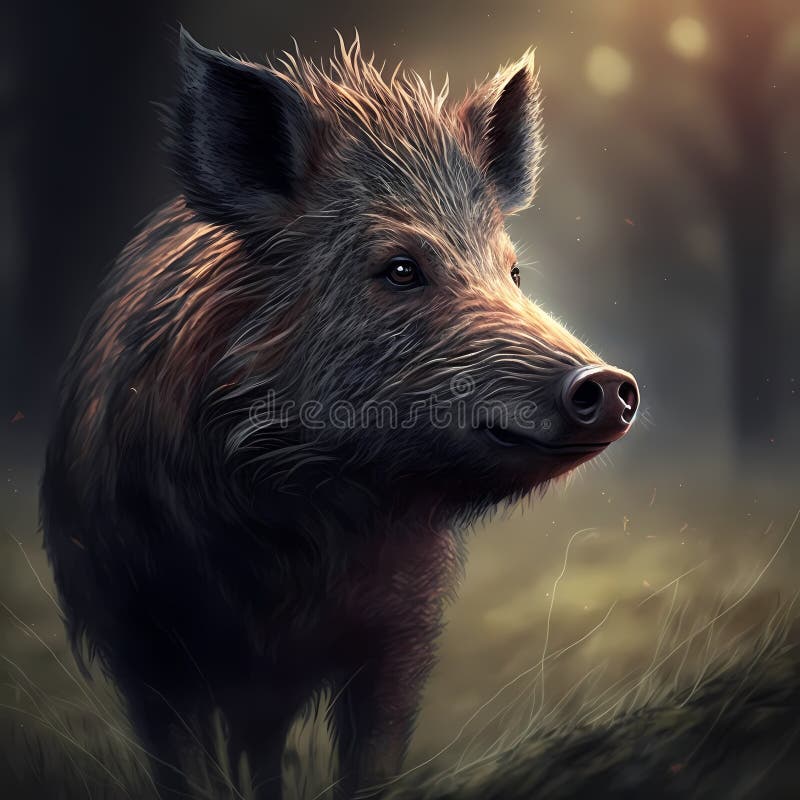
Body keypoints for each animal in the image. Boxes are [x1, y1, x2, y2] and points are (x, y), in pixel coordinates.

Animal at [41, 29, 638, 800]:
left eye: (513, 272)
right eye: (400, 268)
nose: (610, 383)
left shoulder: (403, 623)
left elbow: (373, 753)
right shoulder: (140, 633)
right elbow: (183, 763)